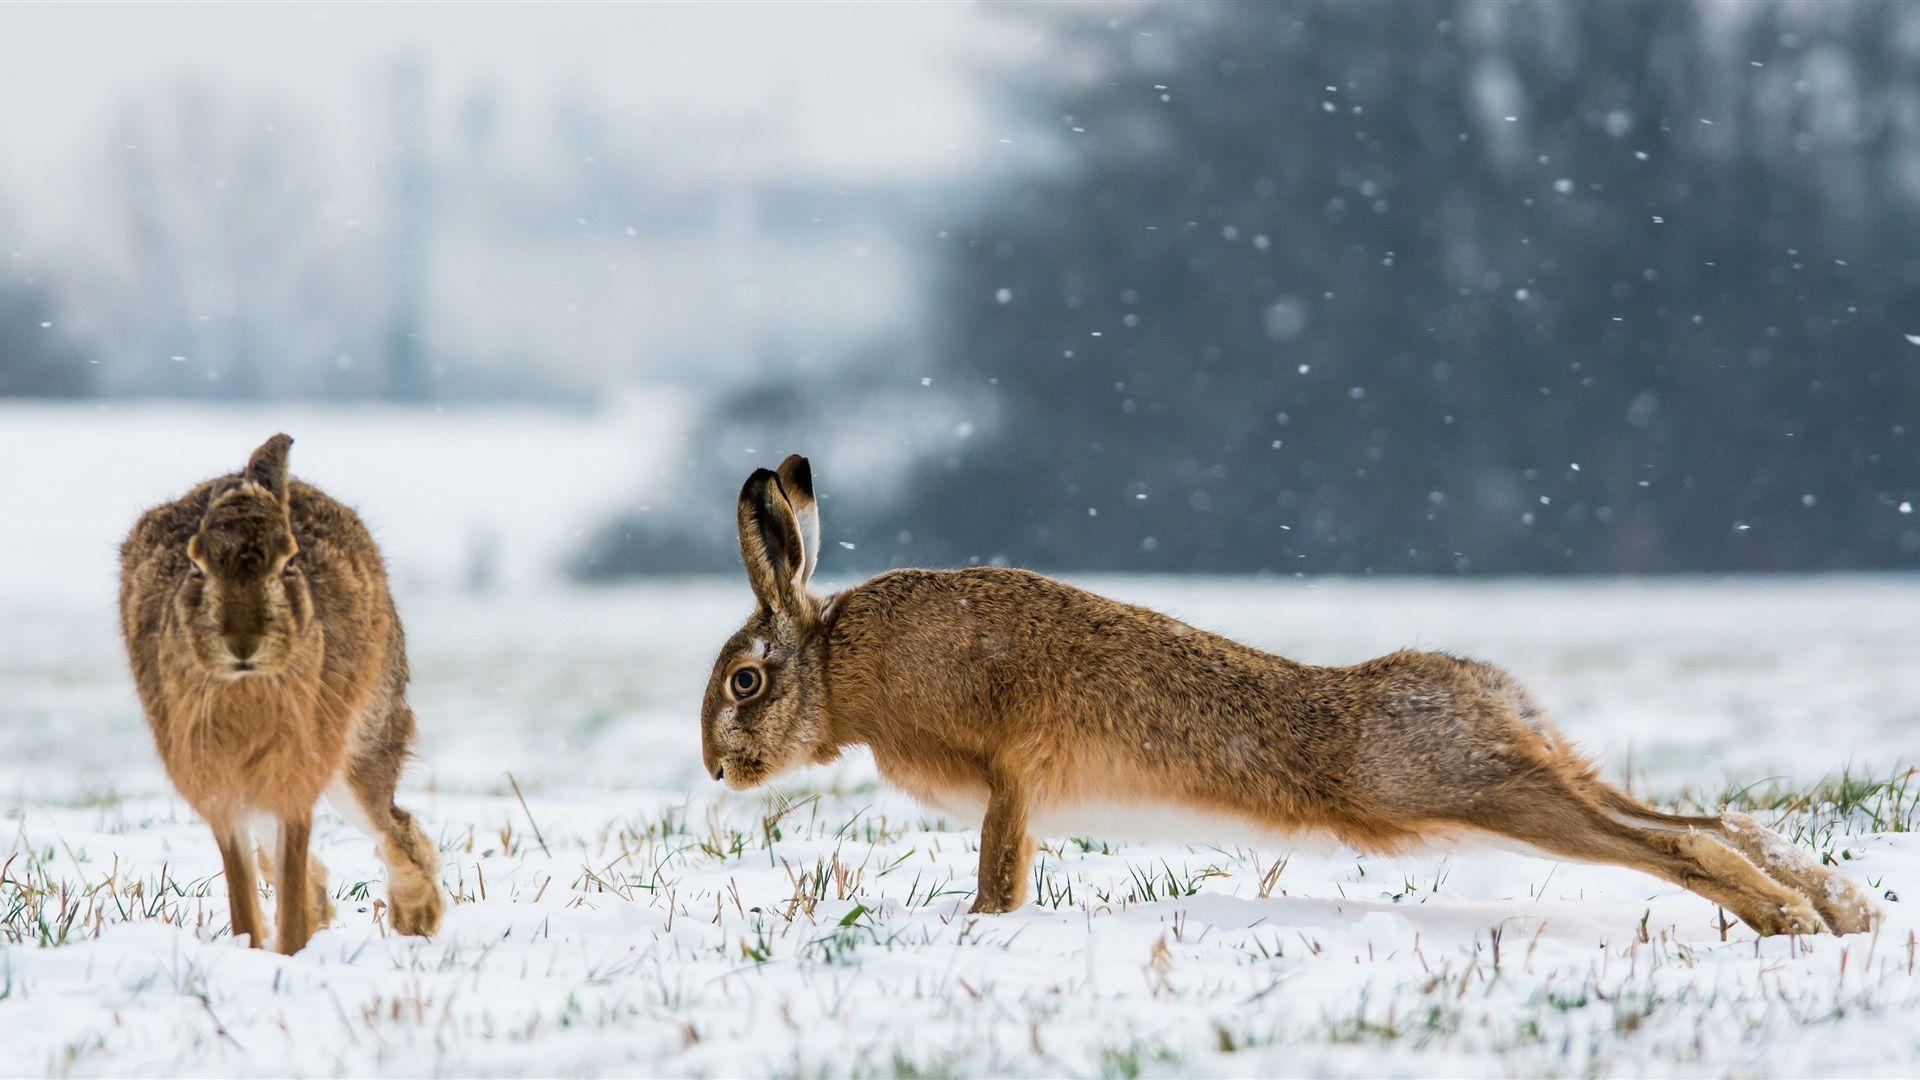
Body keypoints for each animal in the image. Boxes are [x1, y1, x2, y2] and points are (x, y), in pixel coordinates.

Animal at [119, 434, 444, 954]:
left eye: (290, 562)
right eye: (195, 565)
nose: (242, 643)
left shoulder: (298, 772)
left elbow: (287, 874)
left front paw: (289, 952)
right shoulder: (219, 785)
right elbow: (242, 887)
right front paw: (255, 950)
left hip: (359, 745)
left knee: (389, 823)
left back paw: (417, 916)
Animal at [700, 455, 1881, 937]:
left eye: (746, 681)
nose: (717, 768)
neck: (841, 665)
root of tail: (1496, 695)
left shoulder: (1007, 779)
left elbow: (1002, 864)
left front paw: (983, 925)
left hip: (1445, 787)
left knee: (1672, 839)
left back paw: (1789, 919)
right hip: (1499, 780)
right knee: (1700, 817)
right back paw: (1840, 909)